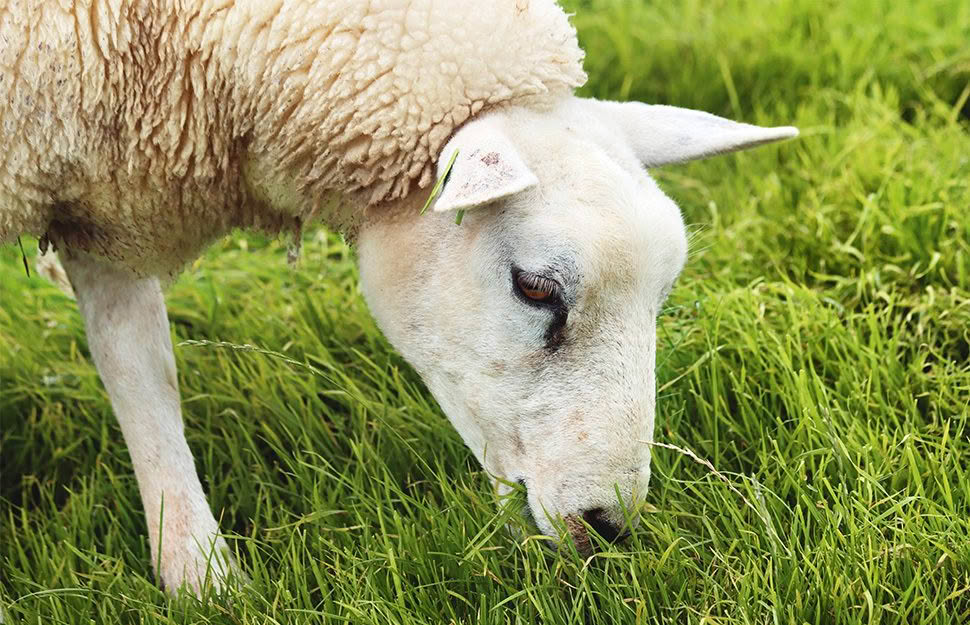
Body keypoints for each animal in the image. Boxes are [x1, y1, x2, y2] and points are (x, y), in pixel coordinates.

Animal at [1, 0, 797, 594]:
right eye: (535, 288)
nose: (609, 526)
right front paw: (206, 577)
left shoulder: (101, 187)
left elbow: (140, 370)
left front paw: (196, 575)